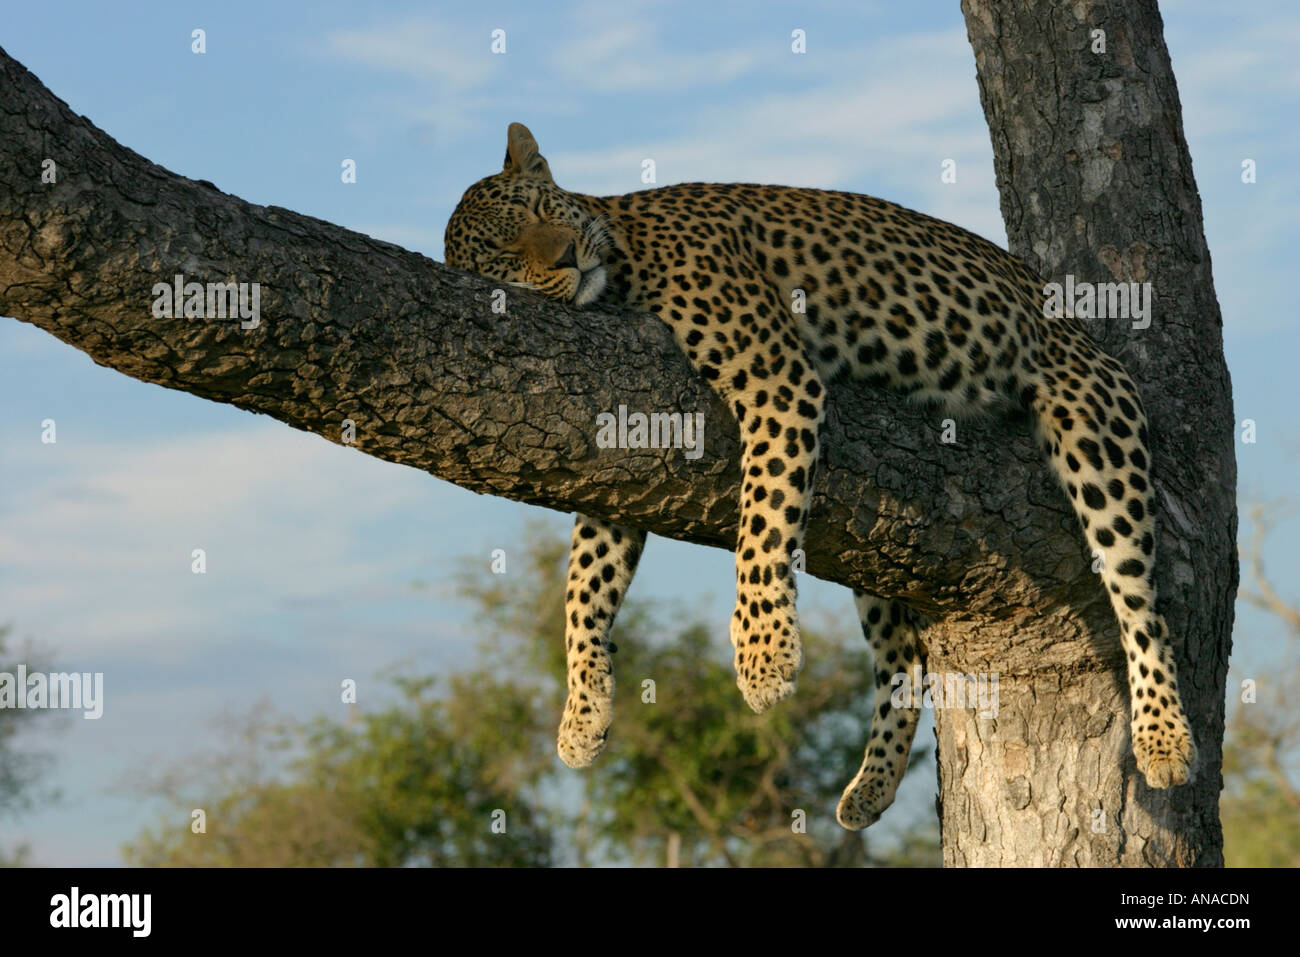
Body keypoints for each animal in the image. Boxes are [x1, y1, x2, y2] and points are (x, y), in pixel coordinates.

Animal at [444, 122, 1198, 829]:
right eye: (507, 257)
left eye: (541, 208)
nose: (568, 257)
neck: (623, 257)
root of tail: (1080, 330)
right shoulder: (620, 462)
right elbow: (583, 588)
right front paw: (582, 713)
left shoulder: (775, 376)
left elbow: (762, 517)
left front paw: (762, 654)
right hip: (884, 557)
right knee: (904, 656)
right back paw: (870, 788)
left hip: (1094, 425)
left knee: (1141, 604)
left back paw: (1164, 739)